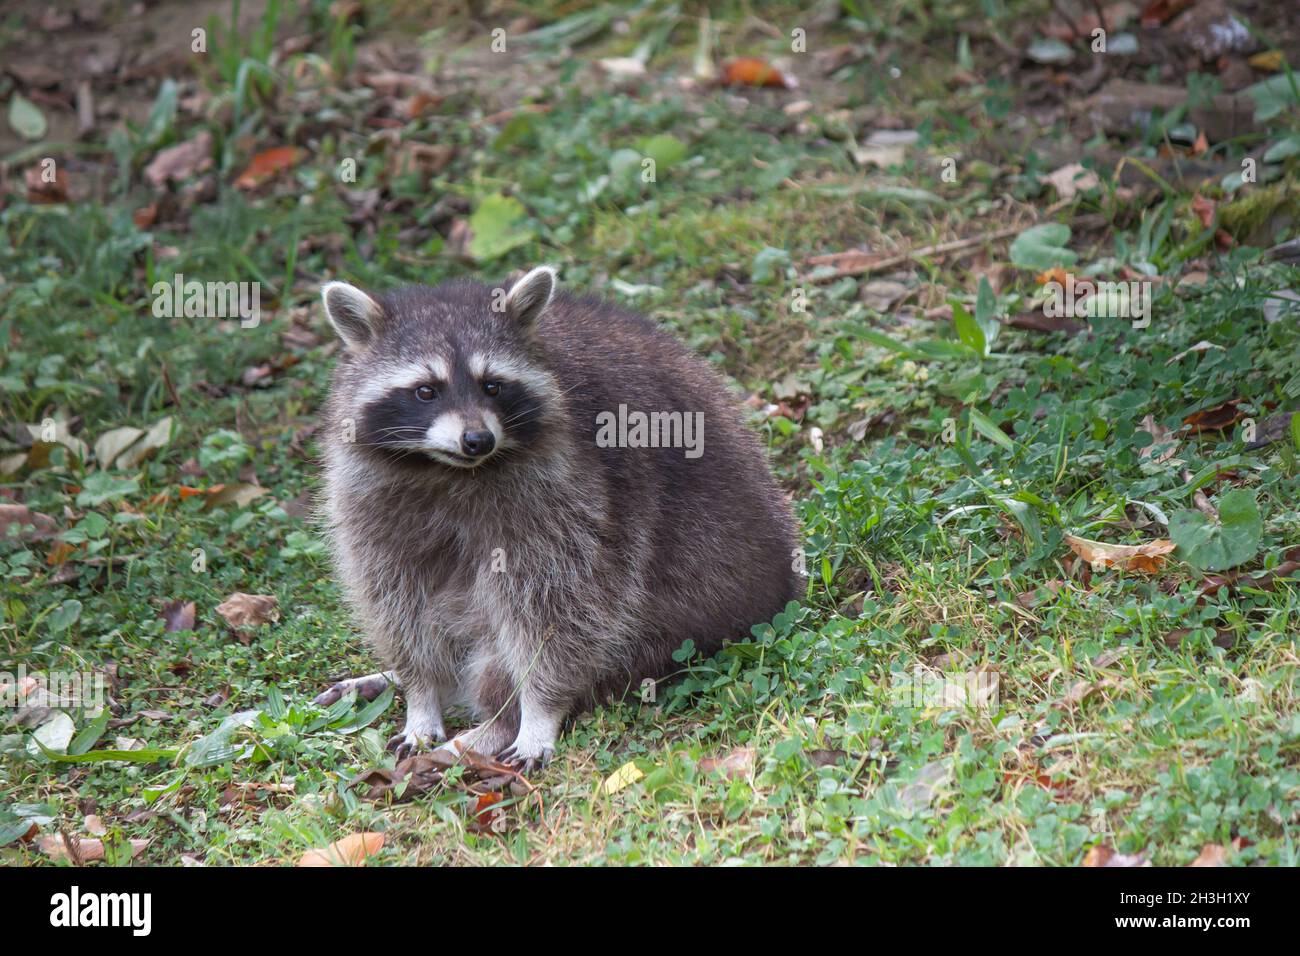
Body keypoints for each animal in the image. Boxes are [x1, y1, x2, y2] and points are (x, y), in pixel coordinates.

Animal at [316, 266, 802, 769]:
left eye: (492, 385)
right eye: (426, 391)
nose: (477, 440)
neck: (448, 471)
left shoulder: (573, 494)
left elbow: (561, 610)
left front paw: (536, 712)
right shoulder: (370, 497)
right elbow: (396, 599)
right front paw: (421, 692)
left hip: (687, 614)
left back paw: (493, 724)